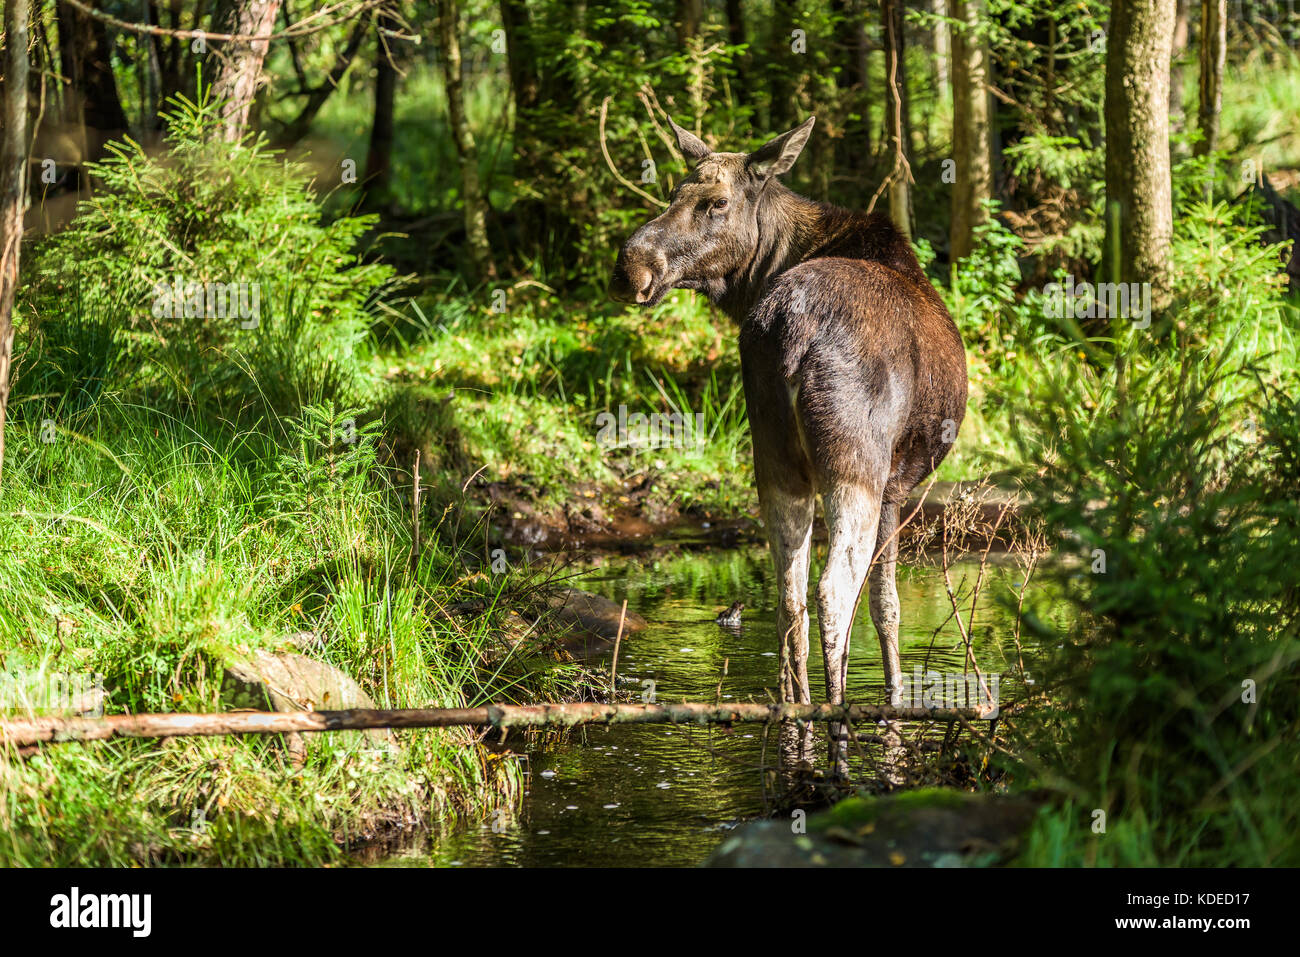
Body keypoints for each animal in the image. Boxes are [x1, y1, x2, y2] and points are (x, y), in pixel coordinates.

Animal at [609, 116, 969, 773]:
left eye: (714, 202)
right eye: (674, 191)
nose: (631, 268)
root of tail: (789, 328)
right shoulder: (899, 487)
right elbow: (888, 607)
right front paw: (895, 713)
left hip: (774, 460)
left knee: (786, 593)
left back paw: (795, 729)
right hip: (853, 465)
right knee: (832, 591)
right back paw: (838, 735)